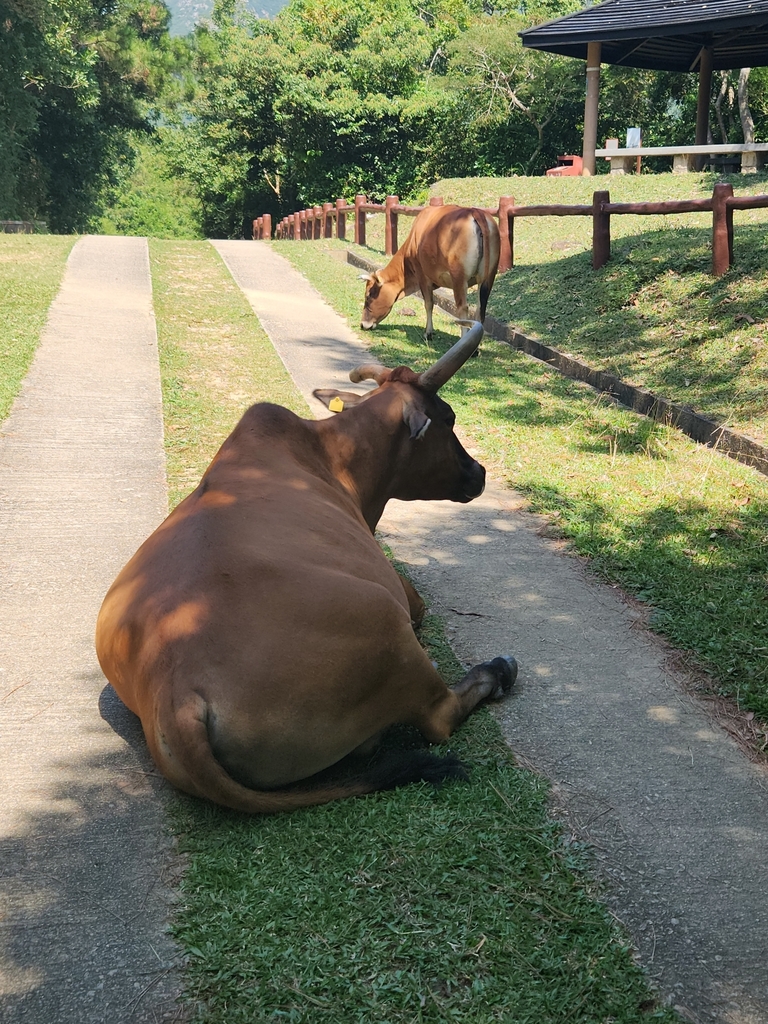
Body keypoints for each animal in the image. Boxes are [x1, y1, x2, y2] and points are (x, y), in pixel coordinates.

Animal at [95, 321, 516, 814]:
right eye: (447, 418)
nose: (479, 472)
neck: (331, 453)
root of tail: (174, 690)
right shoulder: (402, 594)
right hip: (384, 619)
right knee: (438, 717)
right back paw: (496, 671)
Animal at [360, 204, 501, 340]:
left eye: (368, 296)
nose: (362, 324)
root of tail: (474, 211)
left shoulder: (422, 275)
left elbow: (428, 303)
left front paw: (428, 332)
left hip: (459, 278)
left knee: (463, 308)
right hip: (489, 277)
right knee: (480, 310)